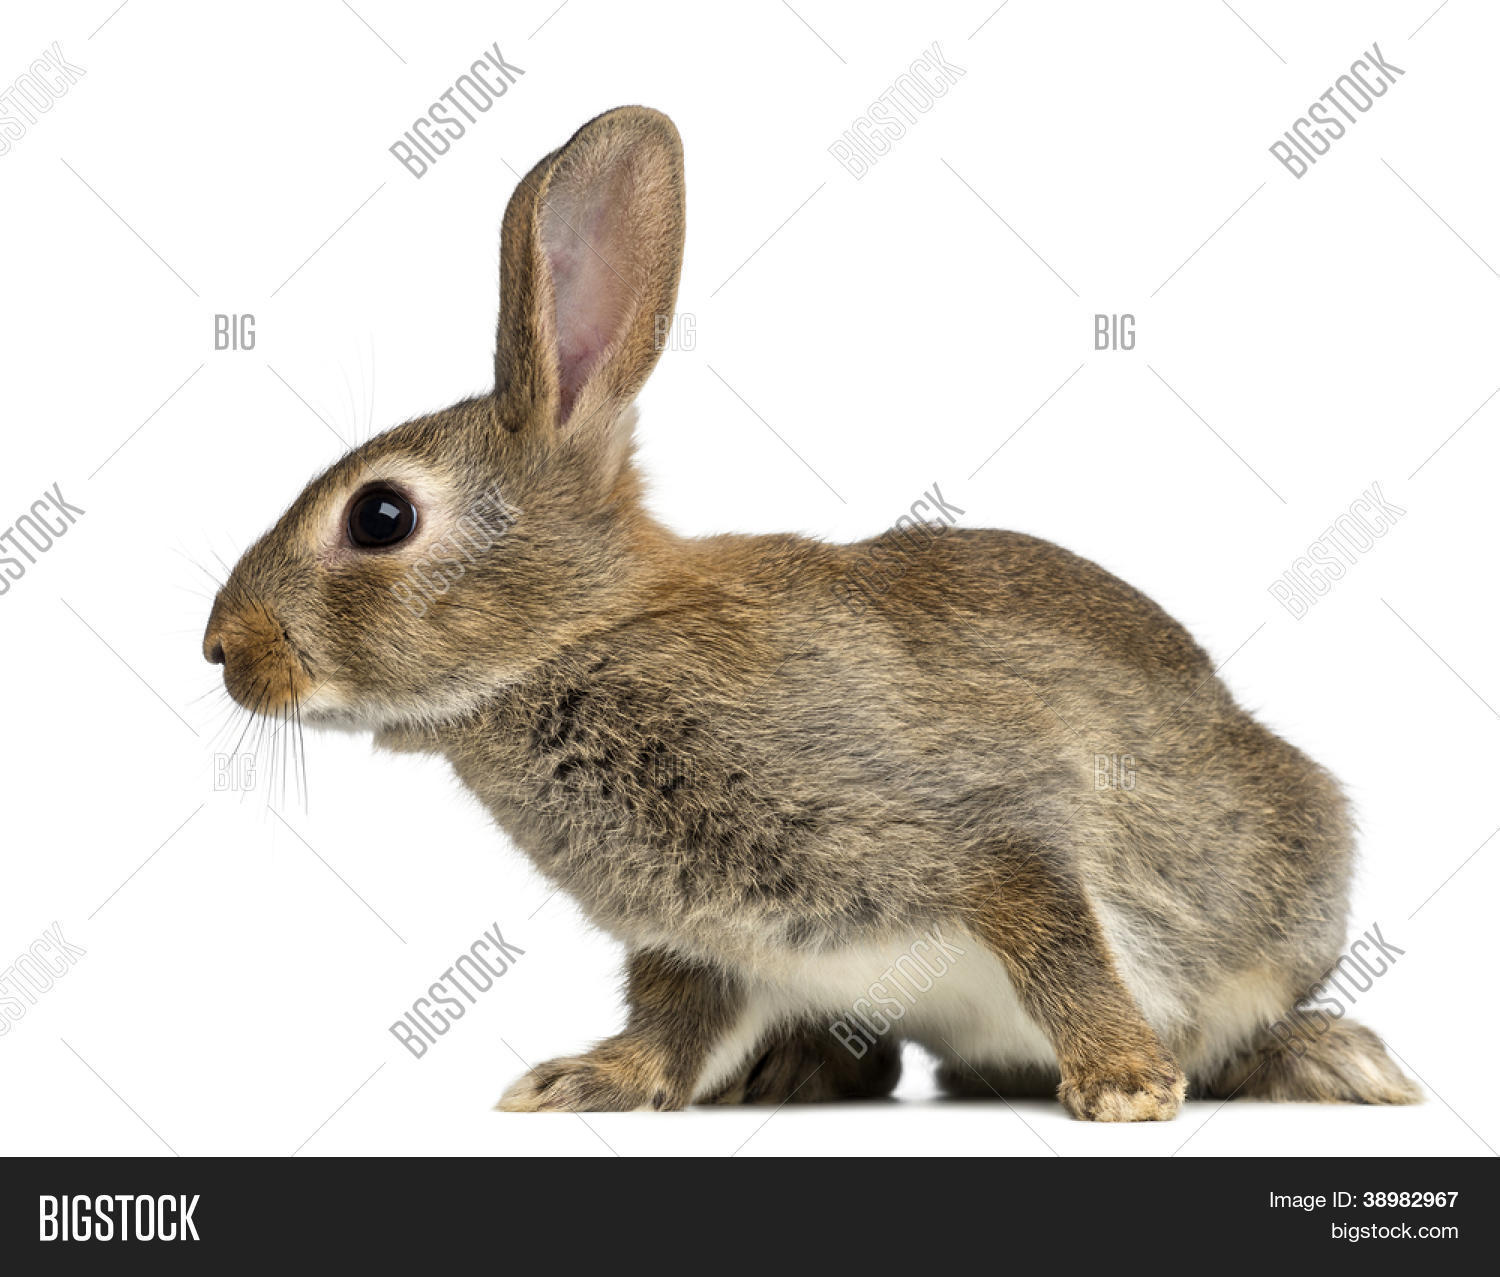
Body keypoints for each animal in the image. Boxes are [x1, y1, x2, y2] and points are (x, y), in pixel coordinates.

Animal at [204, 105, 1419, 1120]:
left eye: (383, 515)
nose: (220, 648)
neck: (584, 637)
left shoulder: (995, 831)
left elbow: (1058, 942)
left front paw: (1124, 1087)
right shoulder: (703, 945)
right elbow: (672, 1023)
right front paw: (585, 1082)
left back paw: (1336, 1062)